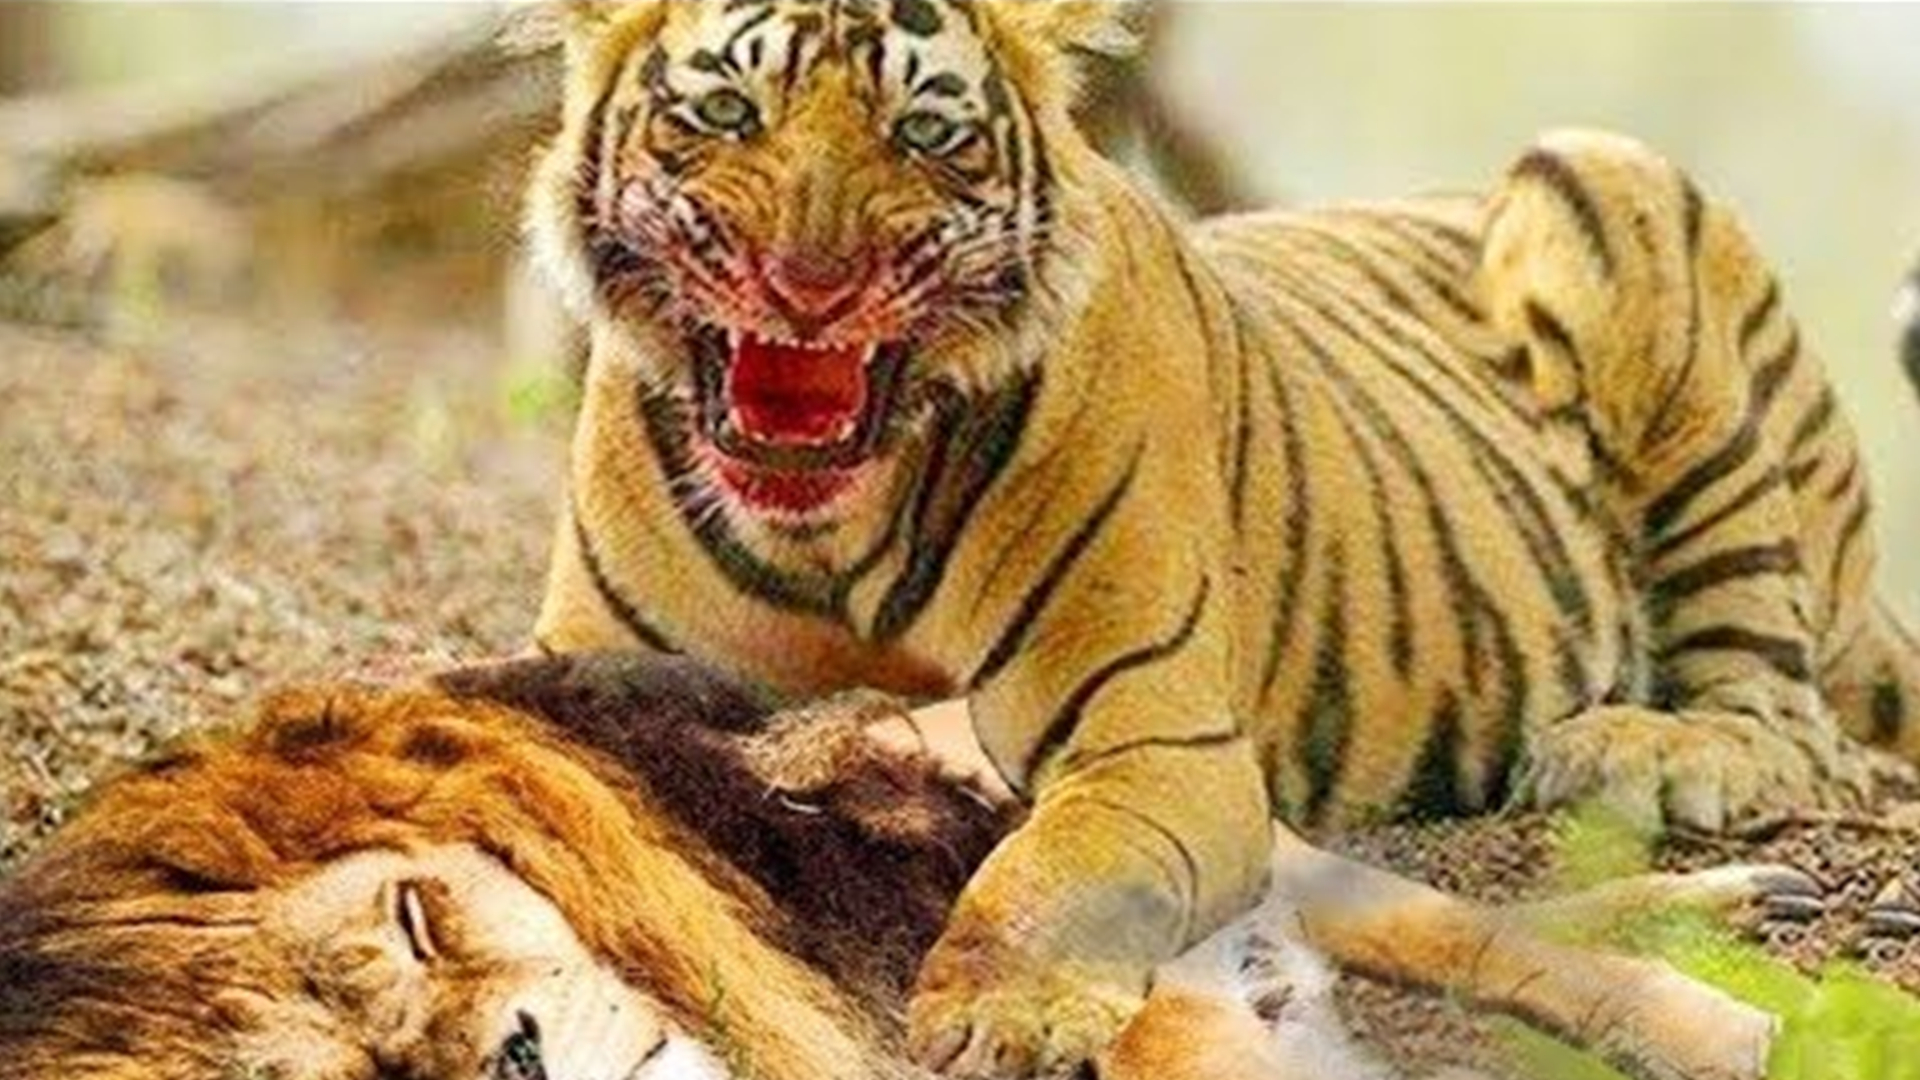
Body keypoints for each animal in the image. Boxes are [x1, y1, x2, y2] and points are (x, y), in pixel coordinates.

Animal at [523, 1, 1920, 1073]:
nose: (809, 286)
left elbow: (1056, 870)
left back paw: (1643, 757)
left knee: (1796, 726)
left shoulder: (1159, 745)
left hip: (1600, 181)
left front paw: (1003, 1012)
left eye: (926, 134)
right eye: (723, 114)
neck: (831, 530)